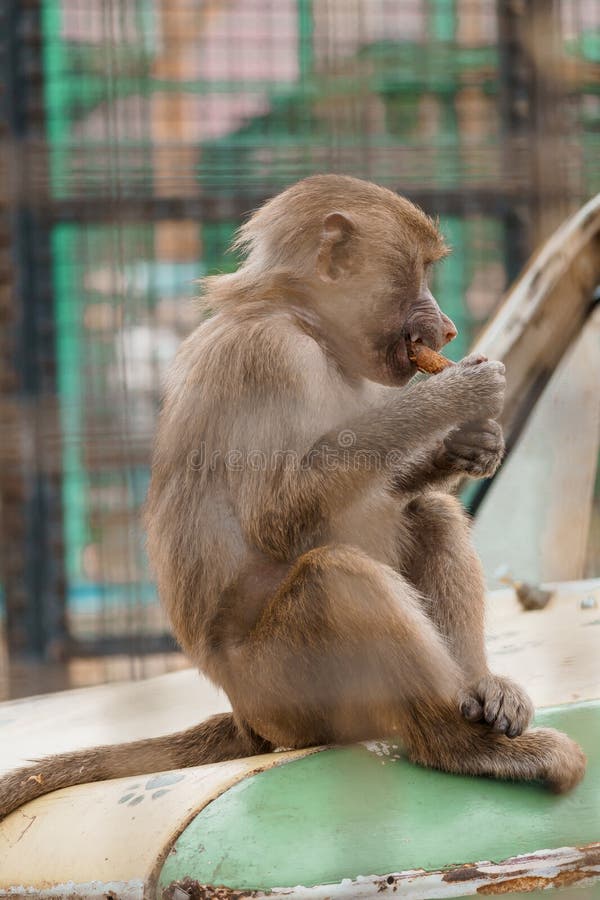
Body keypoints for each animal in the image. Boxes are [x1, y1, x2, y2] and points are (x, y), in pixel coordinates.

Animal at [0, 175, 585, 819]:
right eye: (421, 271)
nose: (450, 329)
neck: (304, 323)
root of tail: (246, 717)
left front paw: (468, 444)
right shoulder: (272, 358)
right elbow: (275, 519)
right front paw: (457, 395)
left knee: (428, 513)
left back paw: (481, 691)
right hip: (288, 692)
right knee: (338, 576)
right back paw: (461, 746)